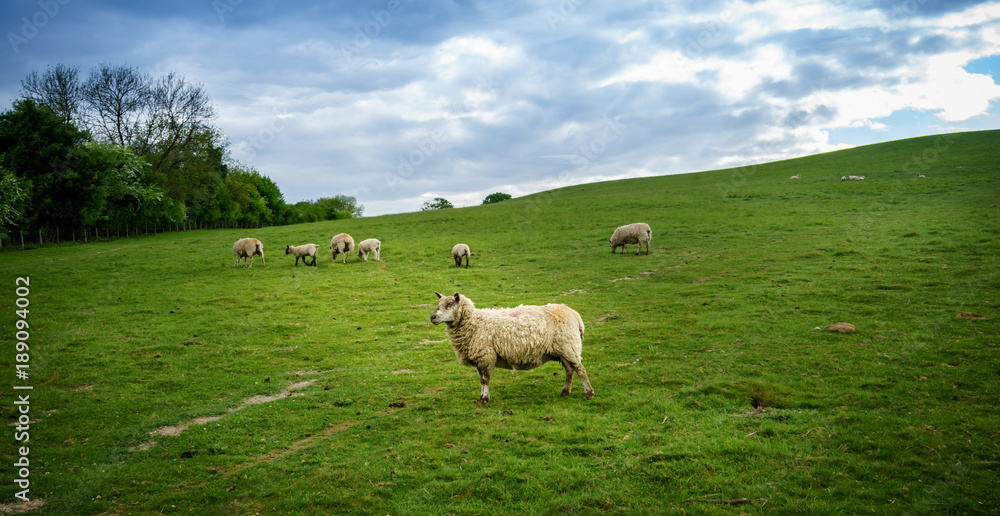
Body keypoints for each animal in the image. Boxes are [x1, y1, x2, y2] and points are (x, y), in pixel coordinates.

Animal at [429, 291, 595, 404]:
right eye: (439, 304)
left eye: (449, 304)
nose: (432, 317)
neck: (474, 322)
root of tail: (575, 315)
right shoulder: (480, 358)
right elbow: (481, 379)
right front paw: (482, 397)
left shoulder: (486, 356)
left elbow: (485, 380)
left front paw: (484, 399)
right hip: (563, 350)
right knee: (570, 370)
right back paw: (565, 392)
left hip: (569, 346)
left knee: (580, 370)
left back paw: (589, 394)